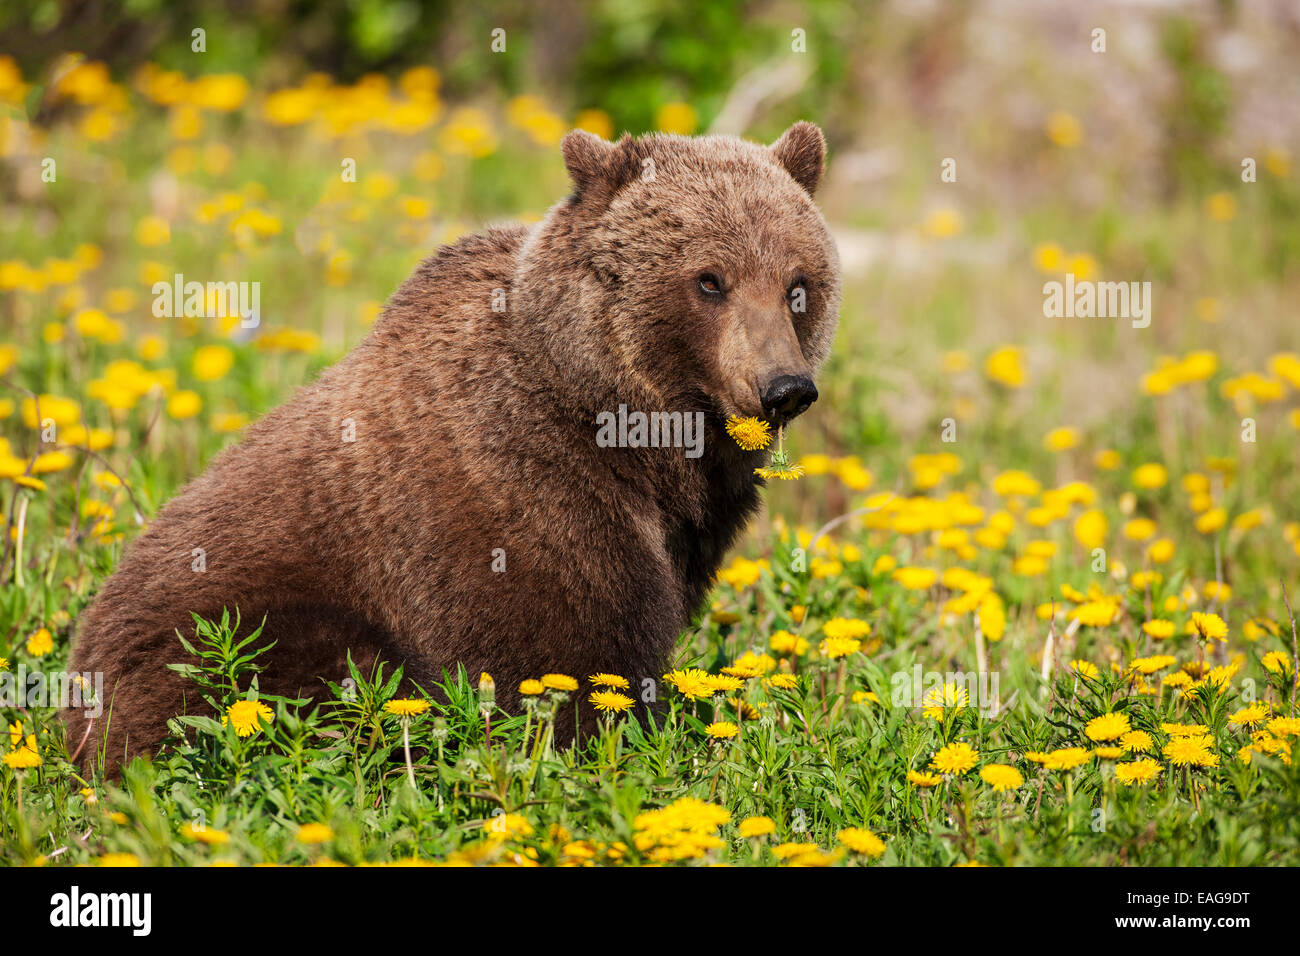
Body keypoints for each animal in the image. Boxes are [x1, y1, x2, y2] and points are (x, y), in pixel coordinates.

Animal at [63, 121, 841, 775]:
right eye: (709, 280)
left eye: (797, 285)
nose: (784, 387)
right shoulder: (518, 494)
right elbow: (560, 655)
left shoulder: (689, 521)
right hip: (214, 642)